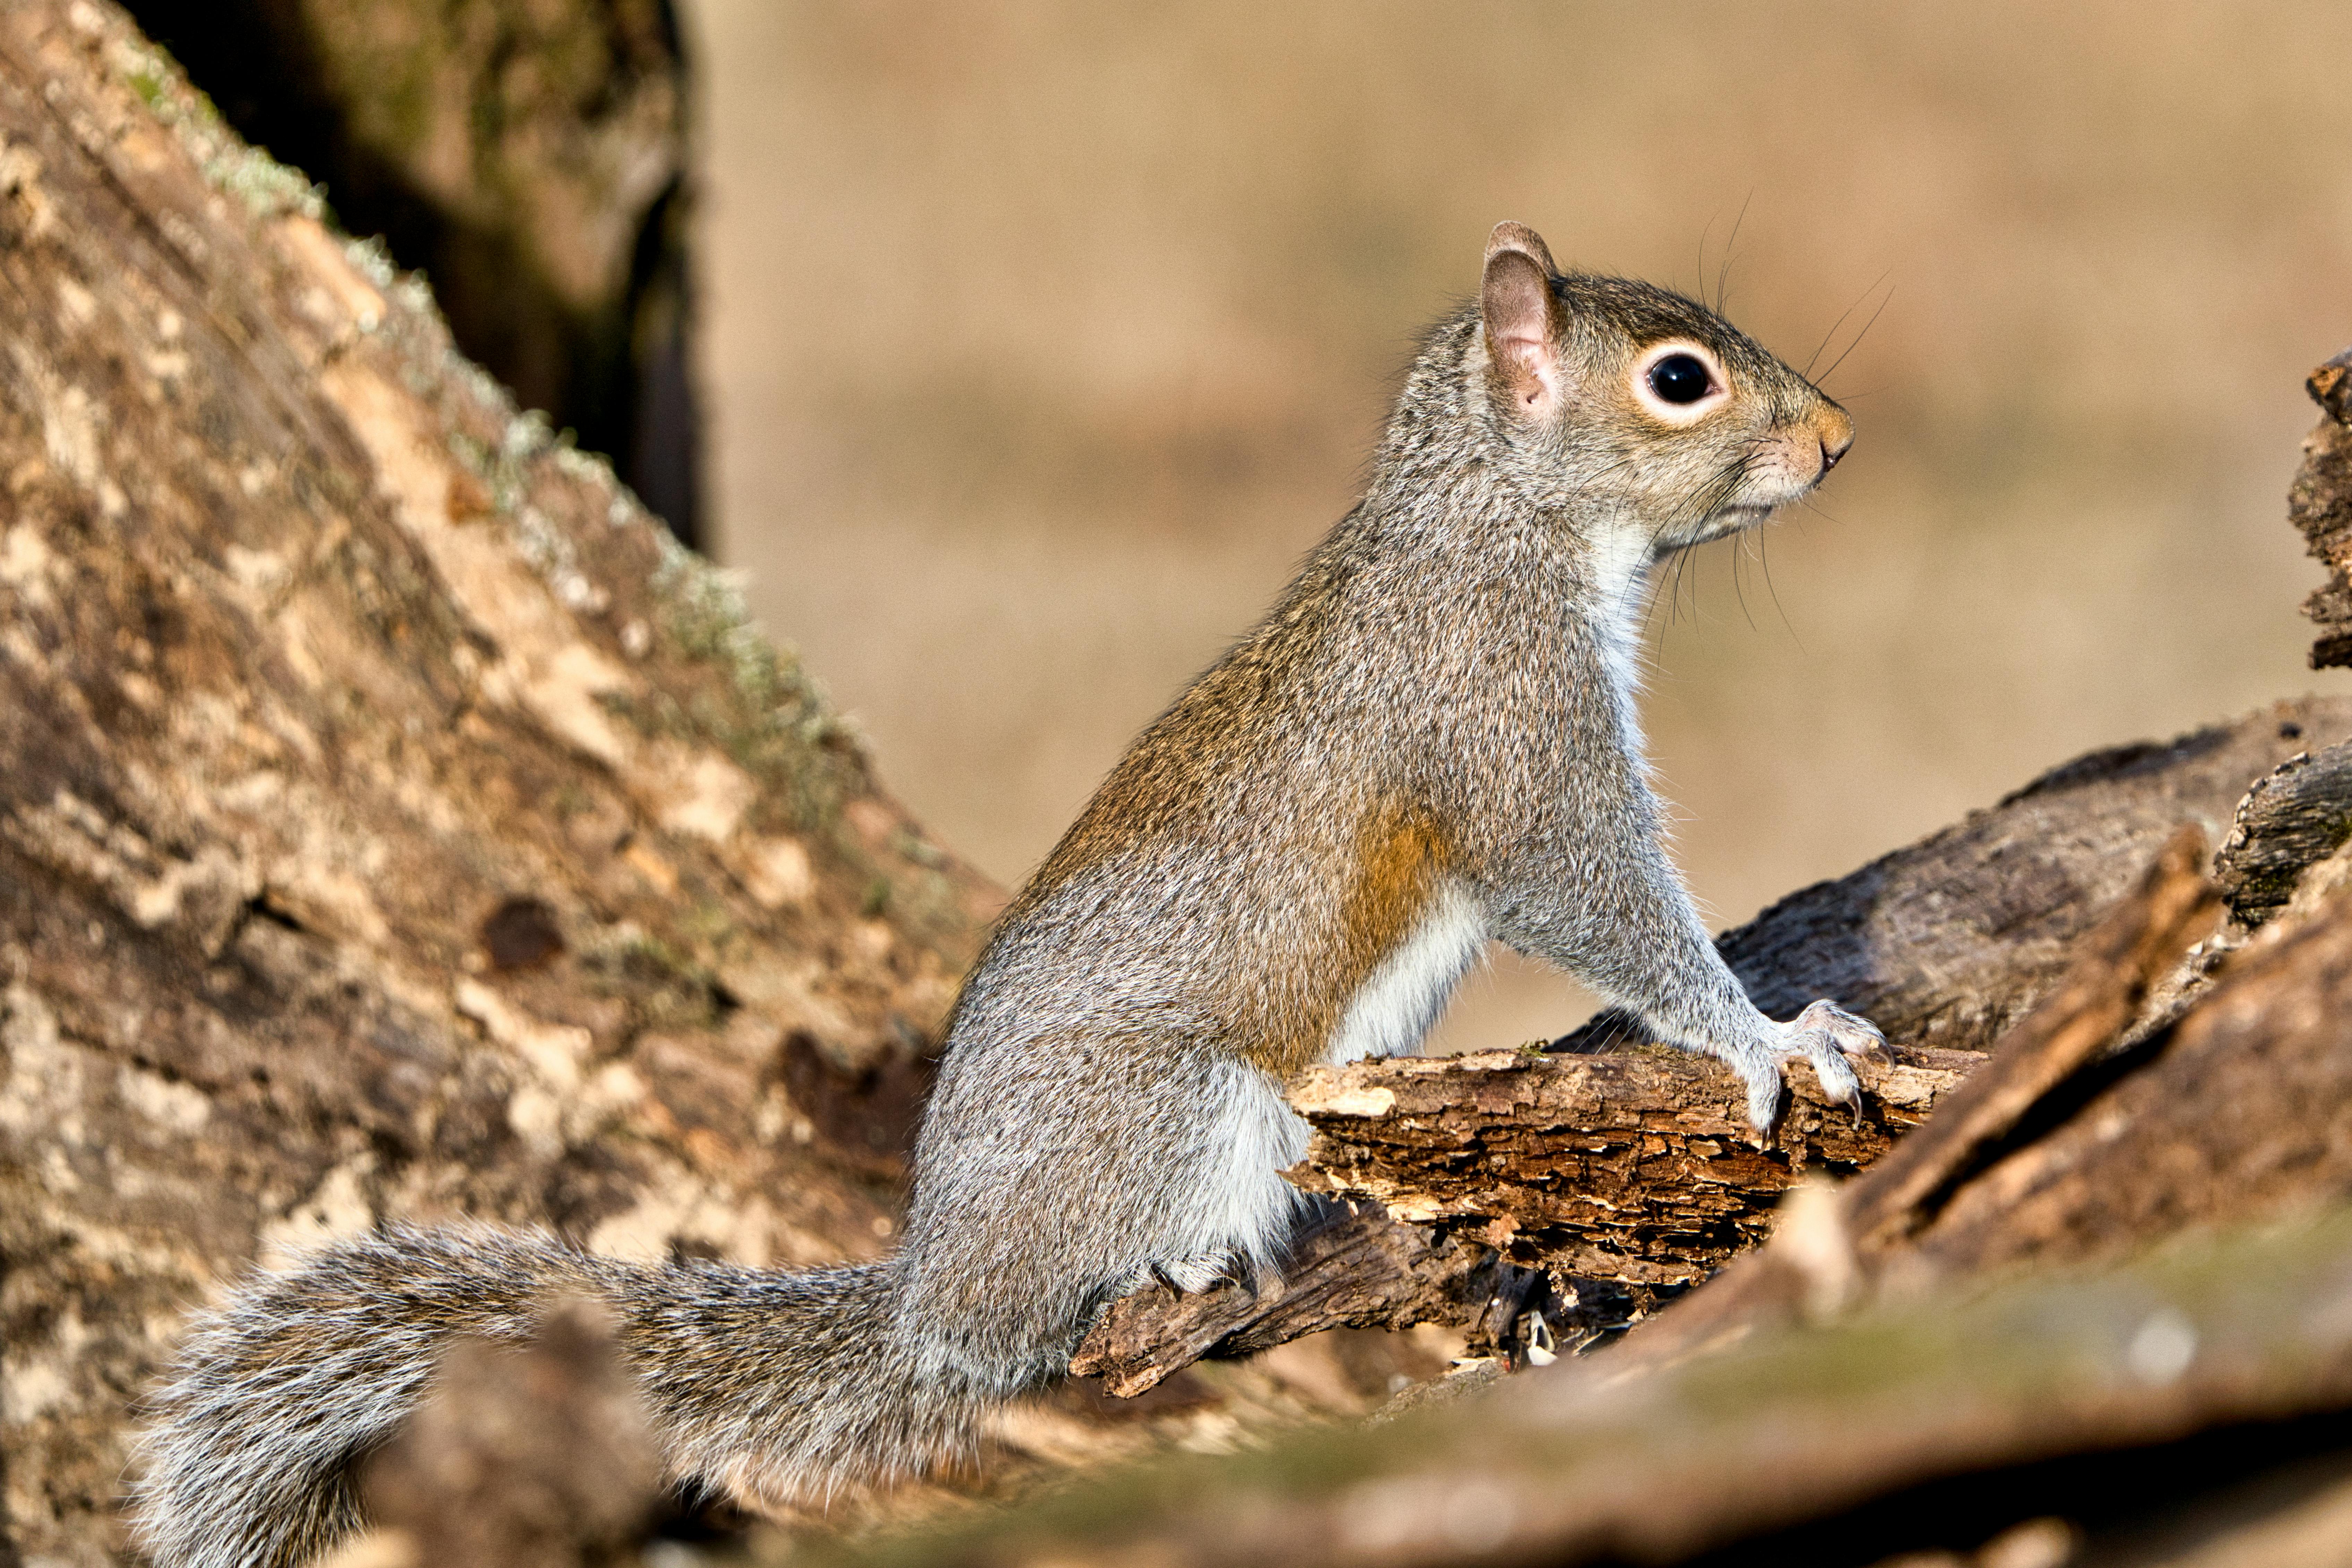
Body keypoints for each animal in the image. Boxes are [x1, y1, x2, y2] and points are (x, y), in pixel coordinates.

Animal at [133, 221, 1882, 1568]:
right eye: (1678, 377)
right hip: (1183, 1108)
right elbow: (1596, 896)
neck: (1488, 518)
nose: (1840, 439)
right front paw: (1767, 1034)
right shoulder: (1505, 723)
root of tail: (936, 1288)